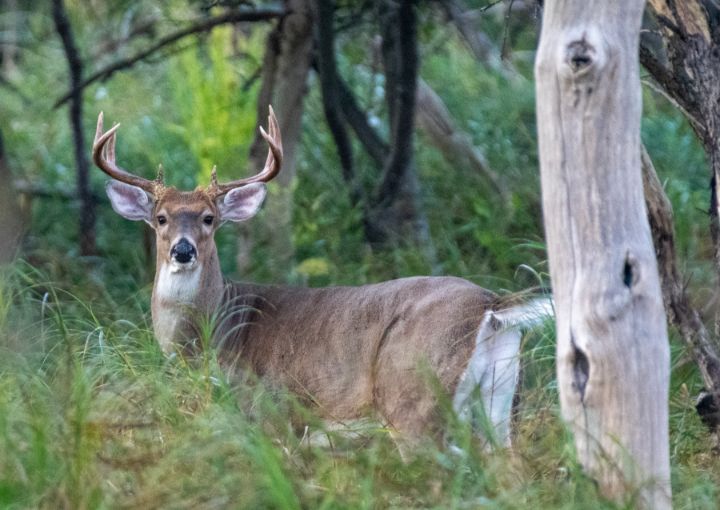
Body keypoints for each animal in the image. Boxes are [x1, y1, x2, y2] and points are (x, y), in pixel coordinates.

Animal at [92, 107, 551, 451]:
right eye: (160, 218)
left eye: (209, 218)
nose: (182, 250)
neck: (211, 335)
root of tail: (492, 303)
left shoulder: (270, 410)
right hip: (498, 398)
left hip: (415, 393)